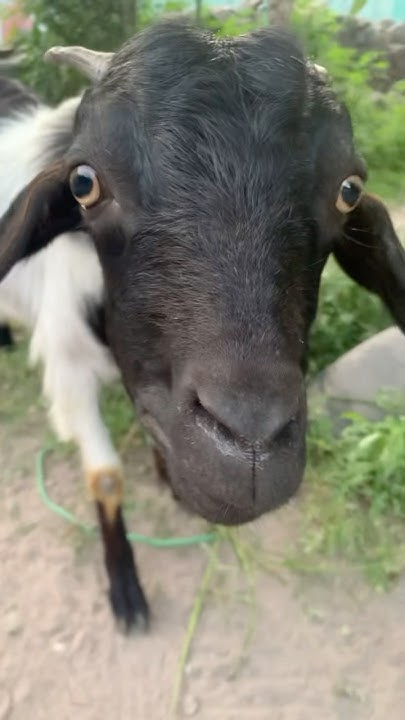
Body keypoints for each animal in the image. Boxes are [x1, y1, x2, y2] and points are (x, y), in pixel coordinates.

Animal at [0, 21, 404, 632]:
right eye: (83, 182)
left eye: (349, 190)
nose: (251, 445)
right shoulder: (68, 368)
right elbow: (107, 478)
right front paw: (127, 590)